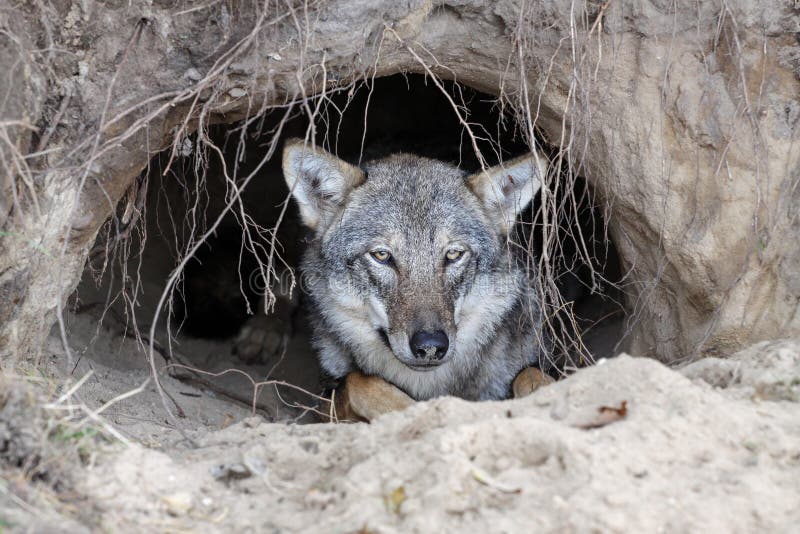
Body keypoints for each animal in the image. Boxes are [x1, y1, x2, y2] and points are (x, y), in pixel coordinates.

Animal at [282, 138, 552, 421]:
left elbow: (532, 376)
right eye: (381, 255)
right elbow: (360, 382)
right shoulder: (325, 400)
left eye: (453, 254)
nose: (430, 346)